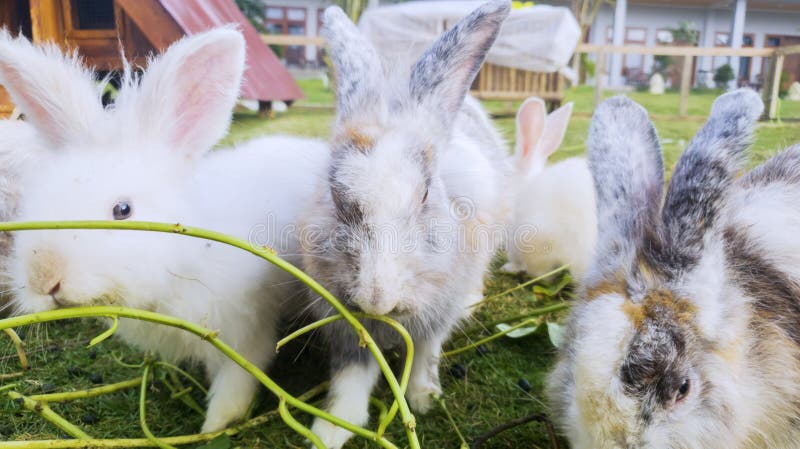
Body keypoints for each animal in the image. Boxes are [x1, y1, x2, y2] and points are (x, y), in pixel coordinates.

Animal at [0, 28, 331, 432]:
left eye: (123, 210)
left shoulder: (245, 331)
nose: (45, 279)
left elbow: (235, 382)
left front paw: (214, 426)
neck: (185, 260)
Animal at [299, 1, 512, 447]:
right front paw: (330, 428)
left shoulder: (437, 314)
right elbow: (352, 374)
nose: (377, 300)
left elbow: (426, 353)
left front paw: (424, 399)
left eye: (426, 196)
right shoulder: (347, 328)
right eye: (336, 198)